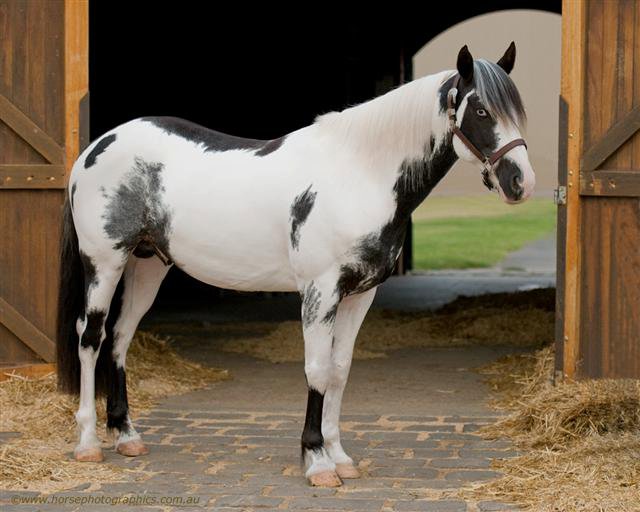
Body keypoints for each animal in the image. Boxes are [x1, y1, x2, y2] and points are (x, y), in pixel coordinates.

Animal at [56, 42, 534, 487]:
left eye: (518, 110)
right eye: (481, 109)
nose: (521, 183)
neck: (359, 173)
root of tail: (96, 147)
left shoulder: (361, 294)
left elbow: (340, 370)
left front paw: (340, 456)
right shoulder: (321, 290)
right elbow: (317, 369)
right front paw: (317, 461)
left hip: (147, 266)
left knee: (120, 337)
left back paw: (127, 436)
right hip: (104, 262)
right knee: (91, 337)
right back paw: (88, 443)